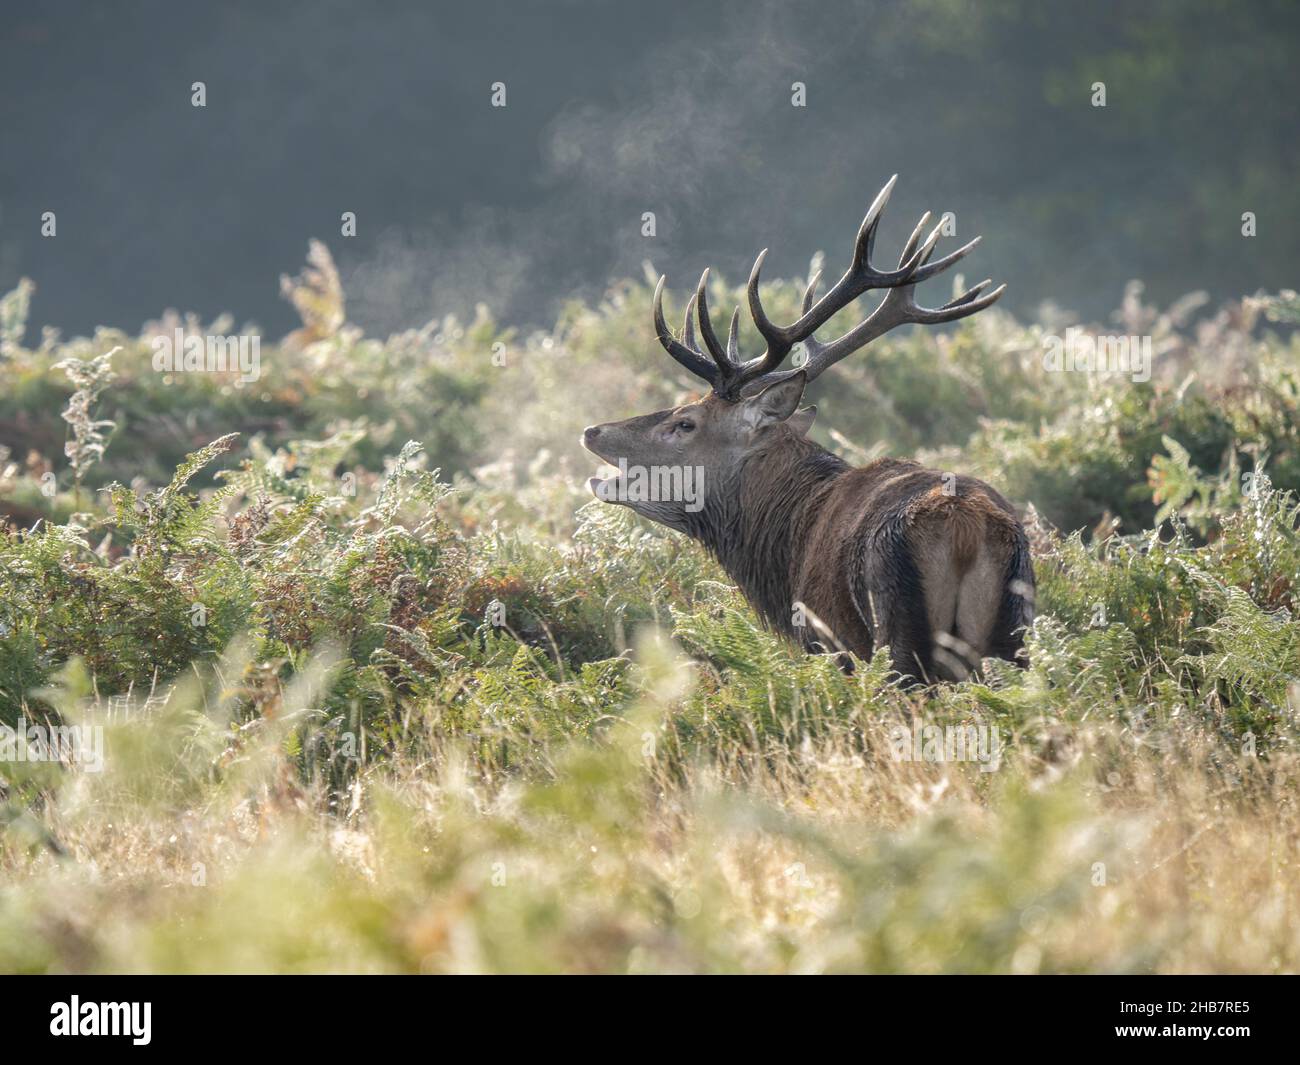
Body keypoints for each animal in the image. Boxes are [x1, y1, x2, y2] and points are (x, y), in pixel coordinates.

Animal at [582, 176, 1034, 683]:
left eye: (685, 423)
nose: (593, 431)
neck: (784, 546)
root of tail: (965, 531)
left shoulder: (827, 641)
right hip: (1013, 630)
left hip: (895, 636)